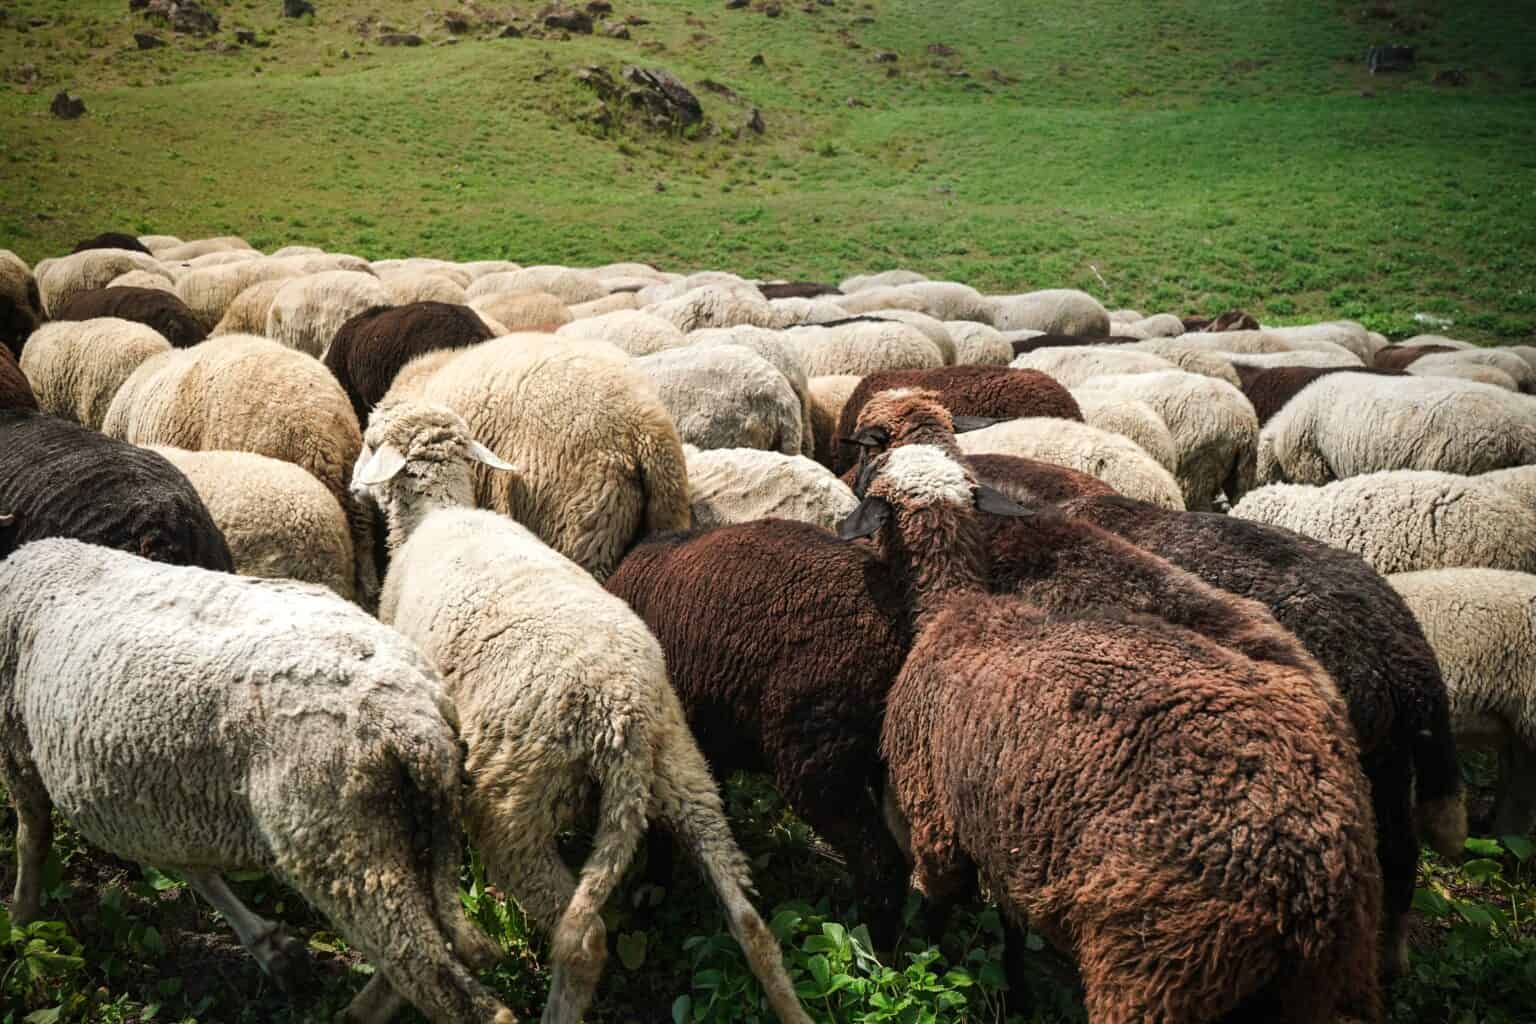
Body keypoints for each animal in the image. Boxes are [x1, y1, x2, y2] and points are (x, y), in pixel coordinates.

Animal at [0, 539, 514, 1024]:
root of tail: (415, 723)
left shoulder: (16, 747)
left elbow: (32, 838)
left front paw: (20, 918)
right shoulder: (162, 797)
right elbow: (191, 866)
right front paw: (273, 949)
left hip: (344, 849)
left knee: (437, 981)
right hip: (413, 831)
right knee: (425, 957)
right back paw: (359, 1006)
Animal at [352, 401, 811, 1024]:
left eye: (369, 442)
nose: (352, 487)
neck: (438, 516)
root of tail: (622, 717)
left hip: (514, 808)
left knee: (584, 938)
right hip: (685, 773)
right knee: (749, 920)